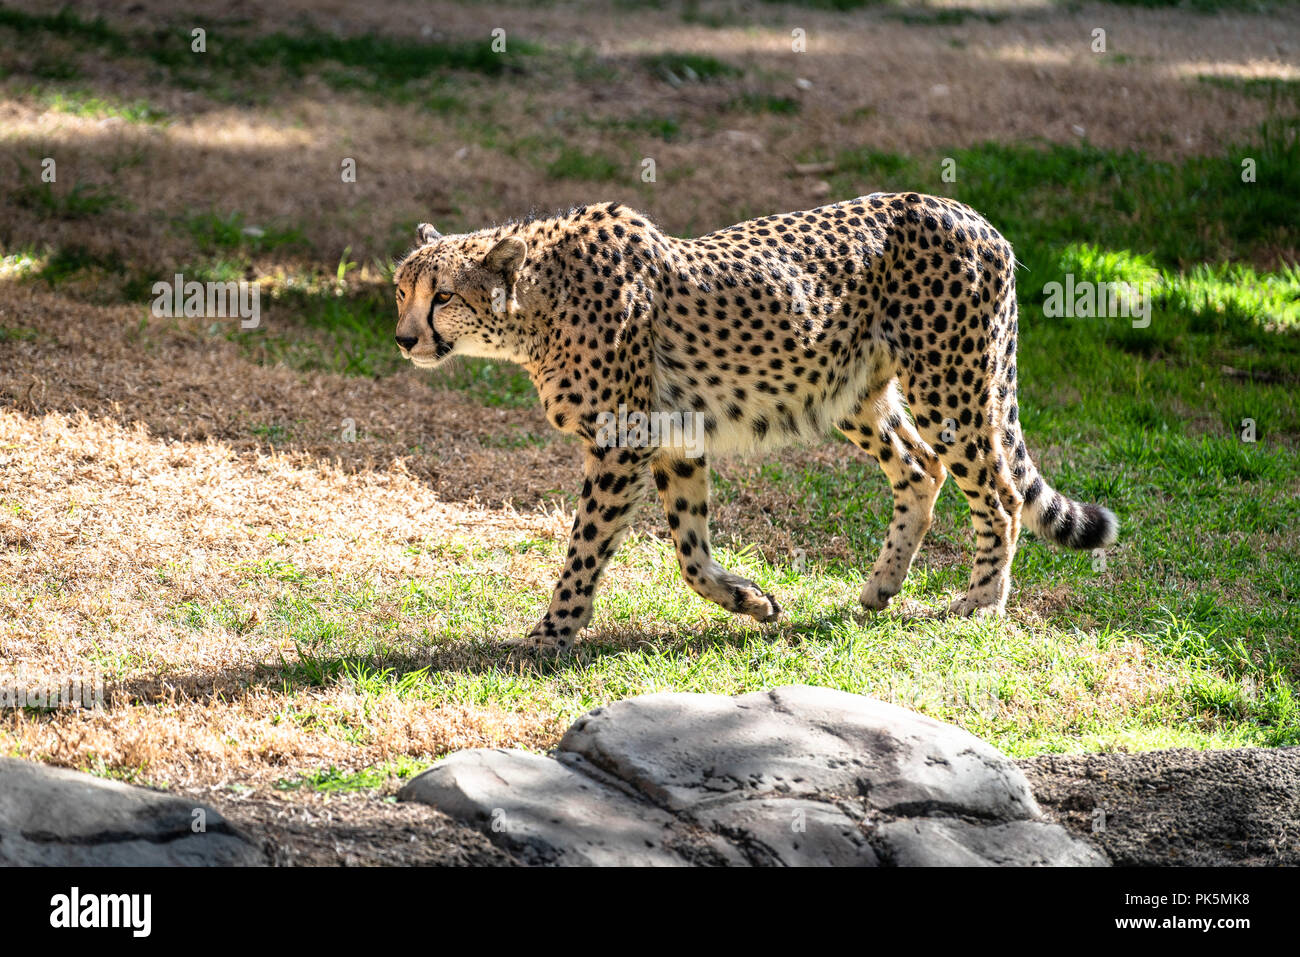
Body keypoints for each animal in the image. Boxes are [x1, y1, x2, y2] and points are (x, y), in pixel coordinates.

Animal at [392, 193, 1118, 650]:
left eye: (444, 296)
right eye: (402, 290)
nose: (403, 338)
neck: (536, 304)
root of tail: (973, 216)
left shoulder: (622, 442)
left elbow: (586, 547)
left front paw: (553, 630)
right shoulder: (674, 438)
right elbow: (689, 552)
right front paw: (751, 600)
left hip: (951, 385)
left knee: (998, 493)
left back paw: (981, 602)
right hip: (852, 394)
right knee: (920, 468)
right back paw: (880, 587)